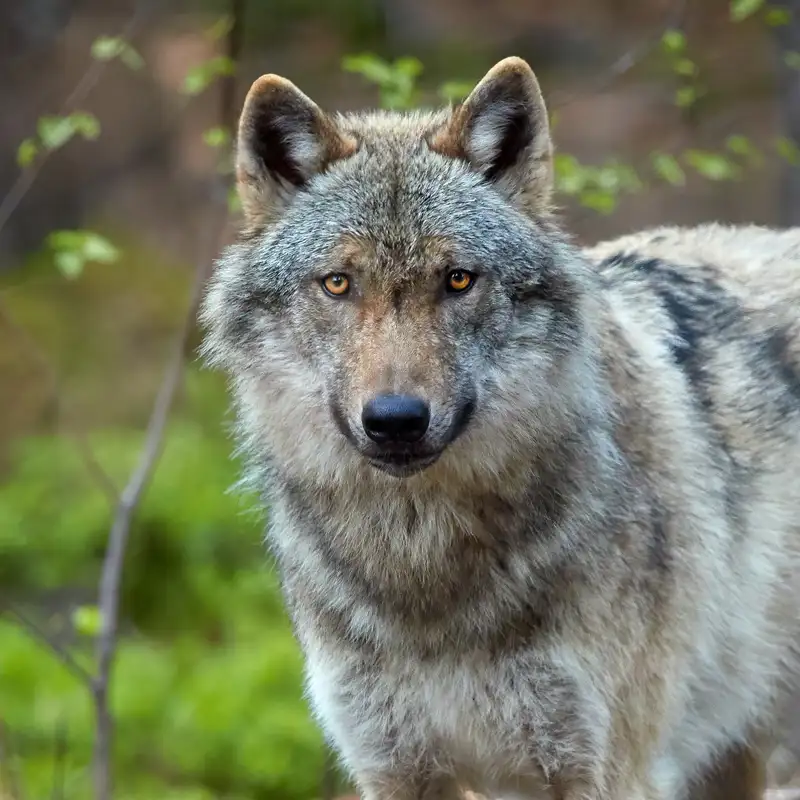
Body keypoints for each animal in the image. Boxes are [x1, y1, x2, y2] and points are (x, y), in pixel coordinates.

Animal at [199, 56, 800, 800]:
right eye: (338, 283)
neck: (423, 573)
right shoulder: (395, 770)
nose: (395, 421)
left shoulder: (607, 771)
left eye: (458, 280)